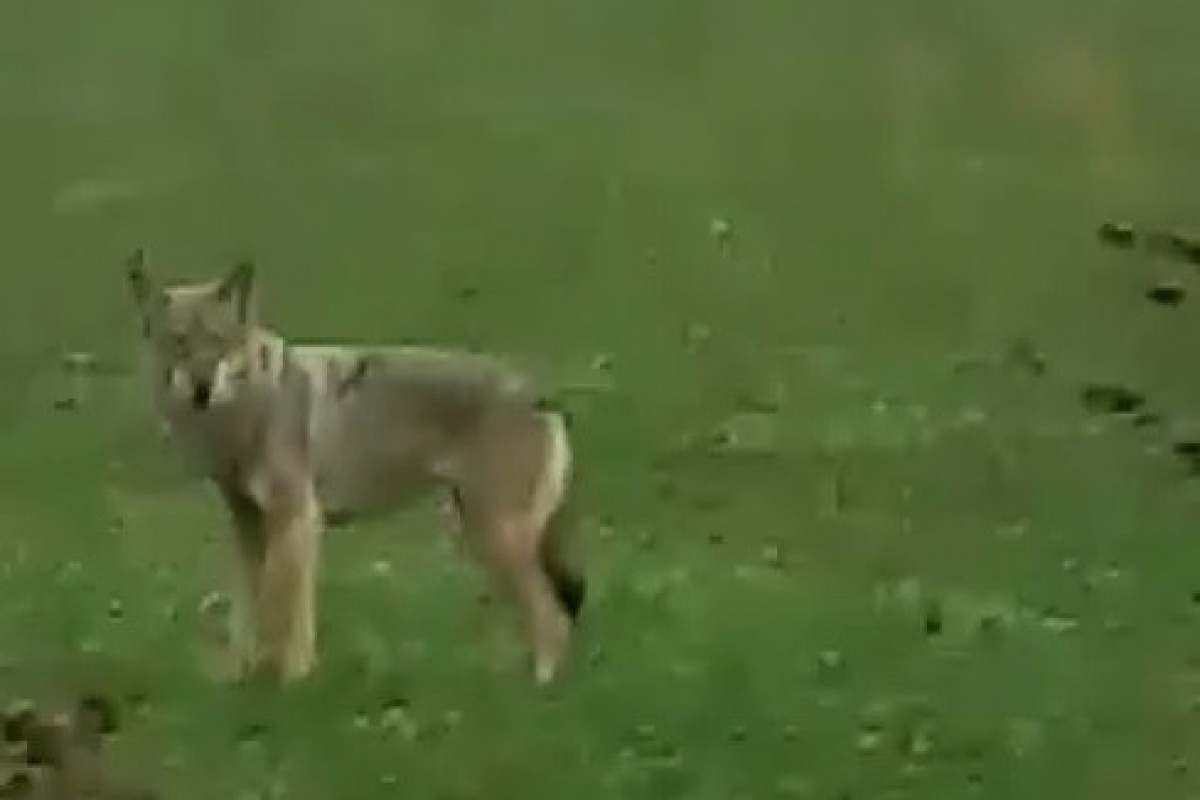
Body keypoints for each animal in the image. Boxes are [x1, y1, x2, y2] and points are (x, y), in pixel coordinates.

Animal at [124, 249, 586, 685]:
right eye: (178, 342)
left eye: (218, 342)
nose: (202, 389)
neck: (246, 415)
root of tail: (536, 392)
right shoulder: (250, 527)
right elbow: (248, 617)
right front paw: (245, 680)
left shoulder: (296, 520)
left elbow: (281, 618)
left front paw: (282, 684)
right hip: (476, 535)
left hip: (495, 537)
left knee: (554, 622)